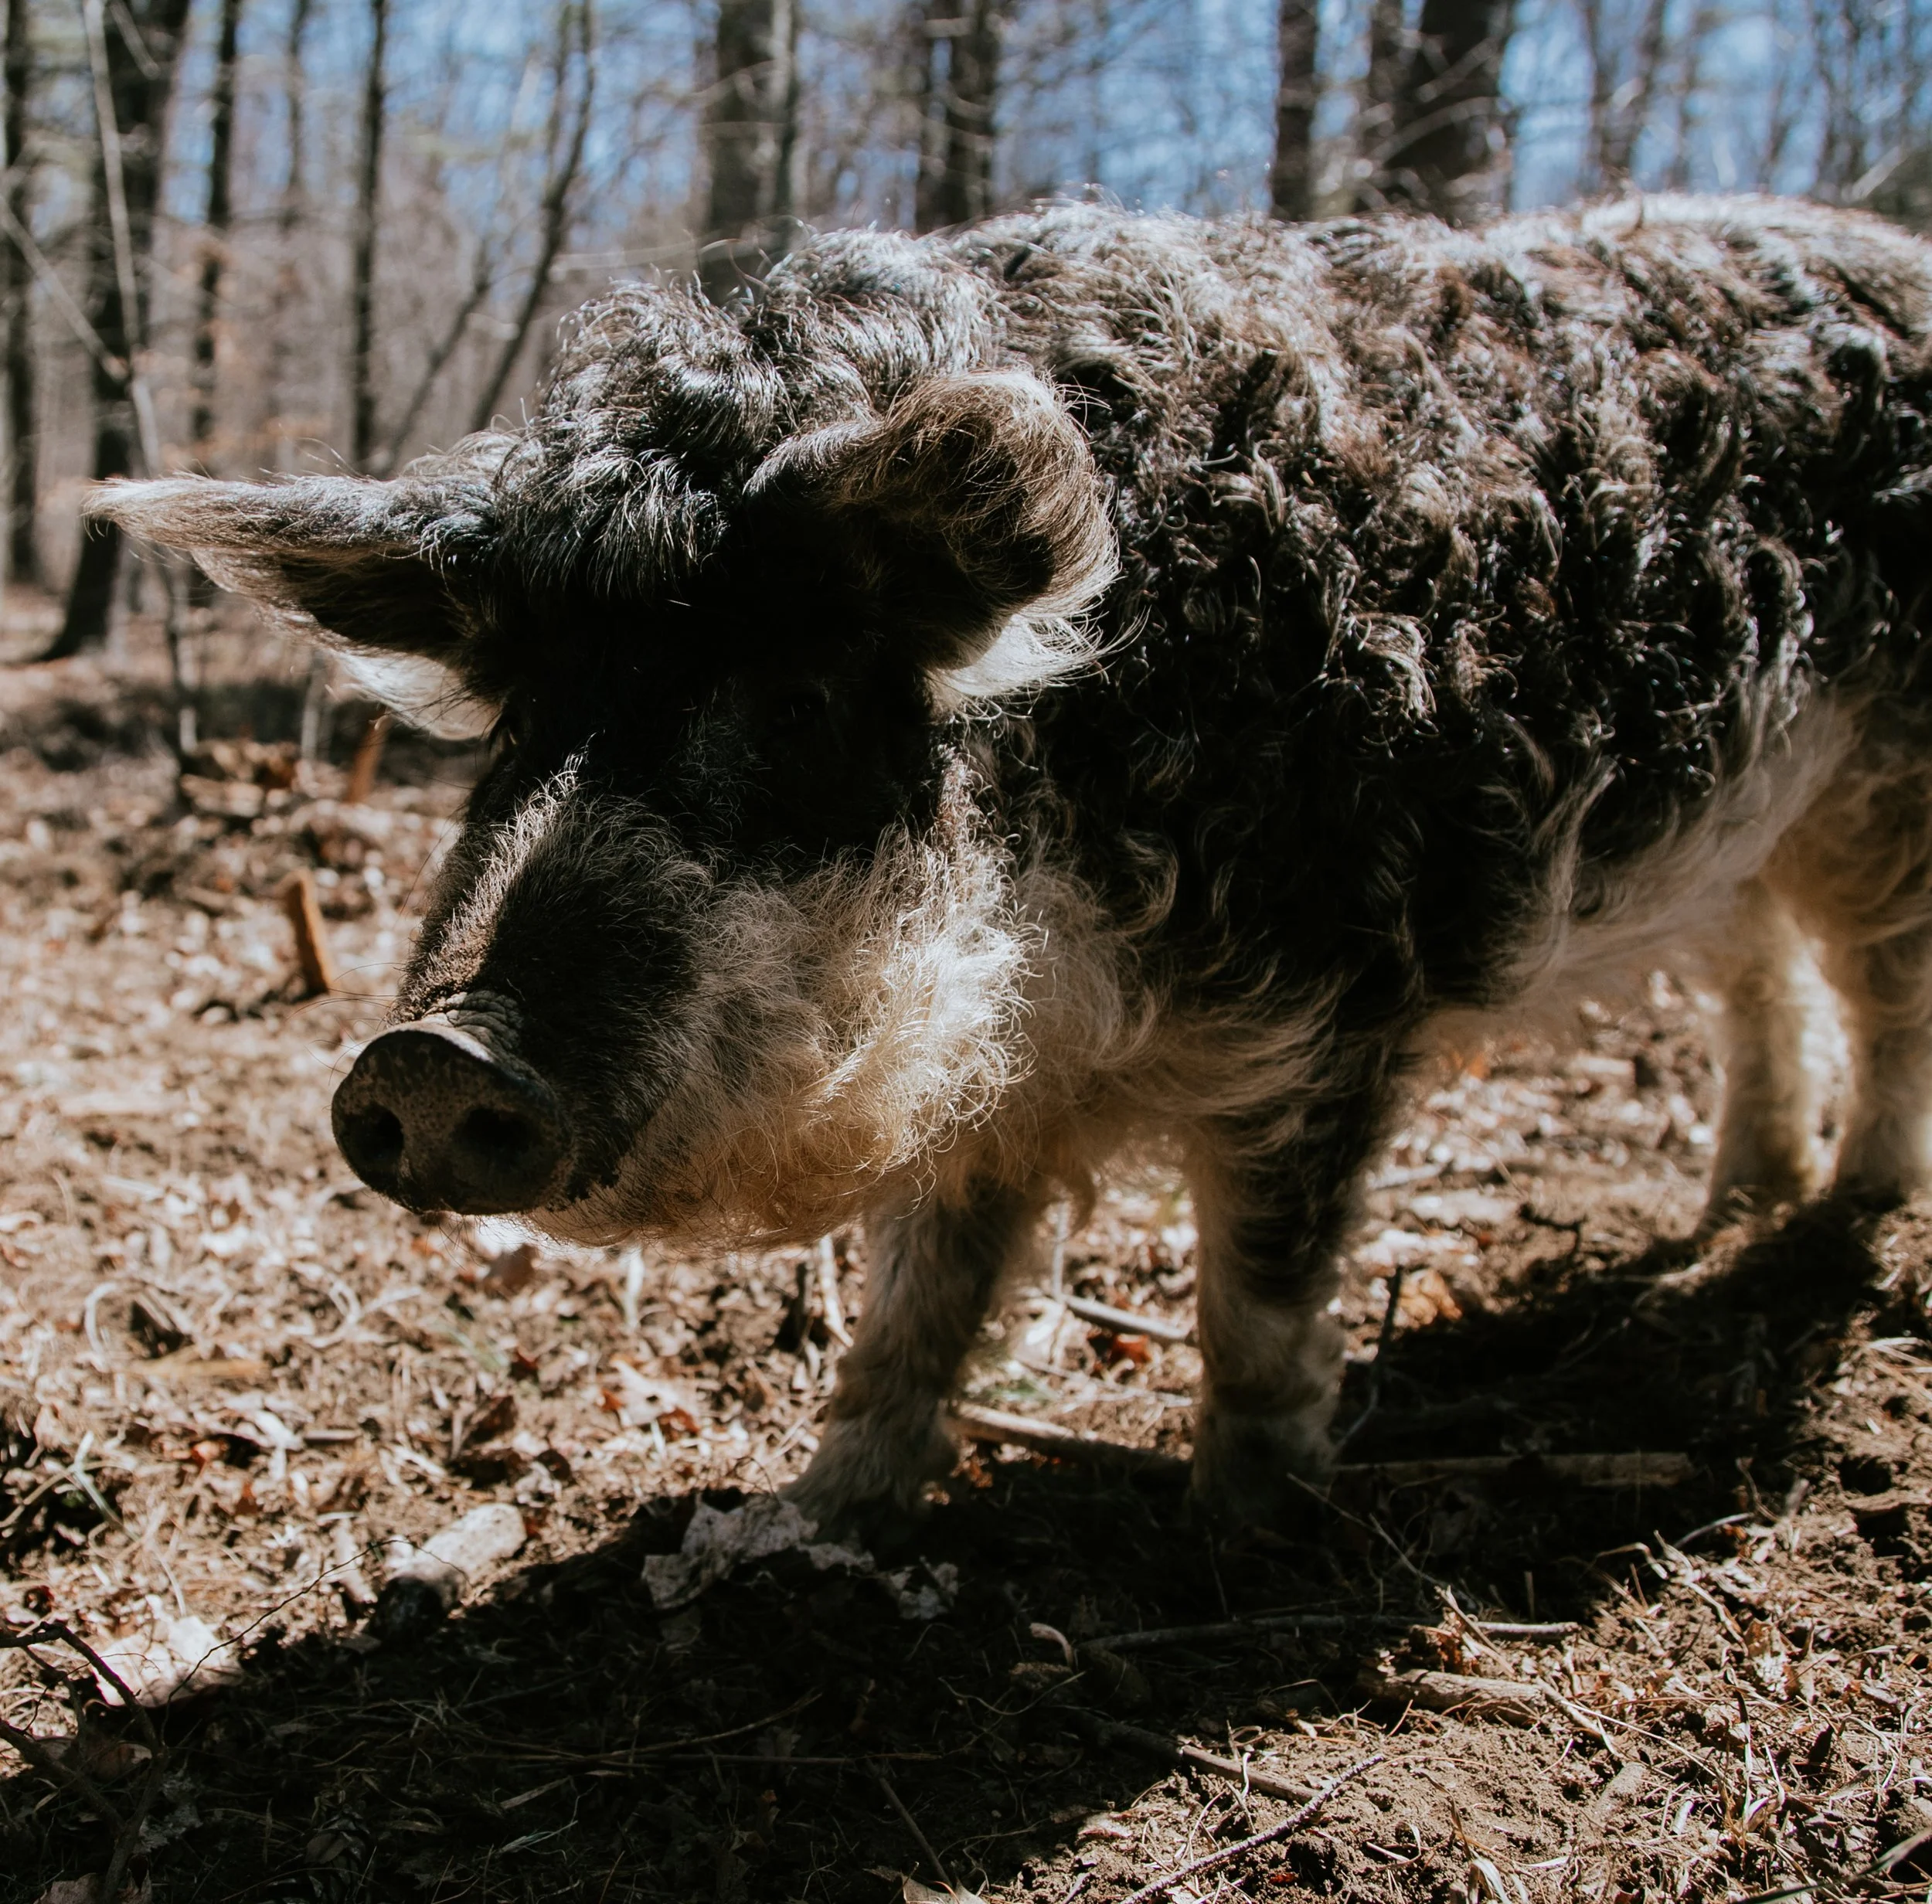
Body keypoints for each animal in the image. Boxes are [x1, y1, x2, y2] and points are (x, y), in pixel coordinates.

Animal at [96, 195, 1932, 1535]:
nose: (427, 1056)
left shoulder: (1334, 1001)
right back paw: (1736, 1205)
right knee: (1756, 974)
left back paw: (1844, 1217)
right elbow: (918, 1289)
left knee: (1880, 989)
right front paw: (804, 1516)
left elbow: (1259, 1285)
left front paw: (1243, 1520)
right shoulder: (990, 1080)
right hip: (1756, 814)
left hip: (1886, 785)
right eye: (517, 719)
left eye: (805, 691)